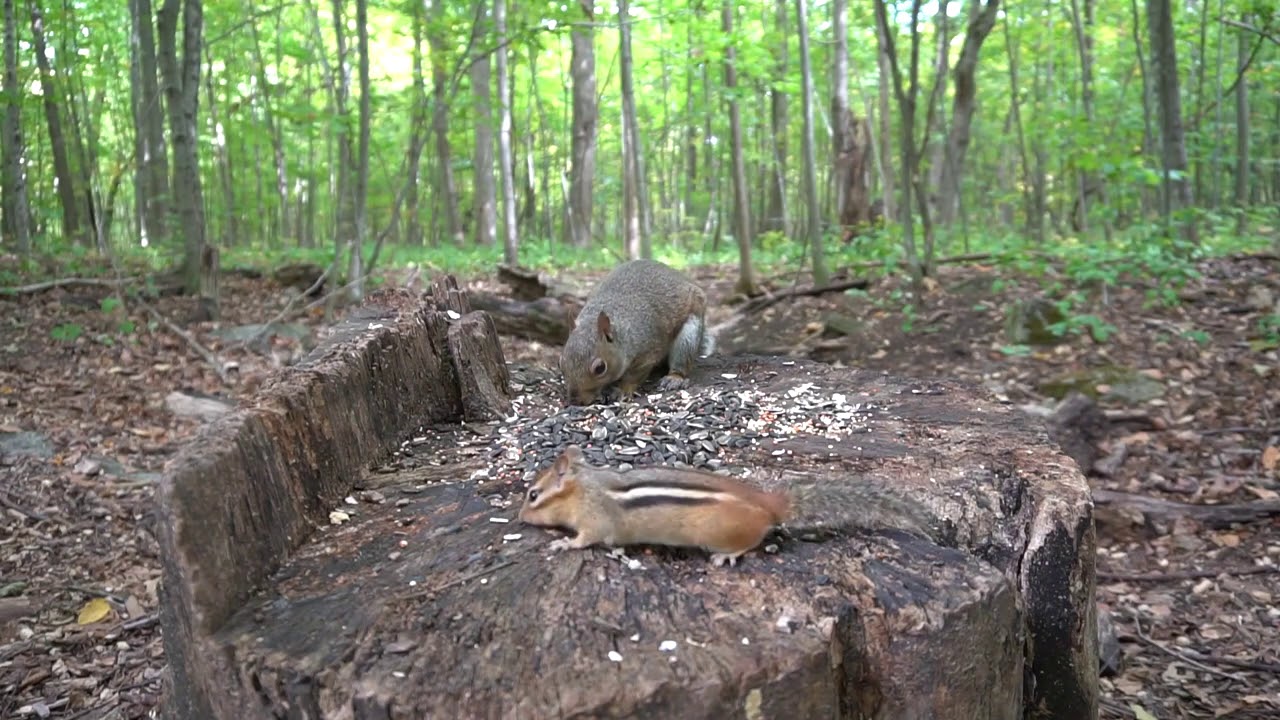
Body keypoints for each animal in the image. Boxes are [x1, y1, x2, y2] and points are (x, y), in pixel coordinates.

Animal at [517, 446, 939, 567]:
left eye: (533, 495)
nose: (519, 517)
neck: (586, 487)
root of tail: (771, 502)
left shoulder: (596, 522)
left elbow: (585, 539)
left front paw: (562, 543)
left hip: (721, 534)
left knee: (751, 541)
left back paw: (727, 556)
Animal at [559, 259, 714, 406]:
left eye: (600, 368)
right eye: (561, 363)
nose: (575, 401)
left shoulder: (647, 353)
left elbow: (633, 377)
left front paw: (622, 390)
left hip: (689, 334)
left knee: (681, 360)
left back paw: (674, 378)